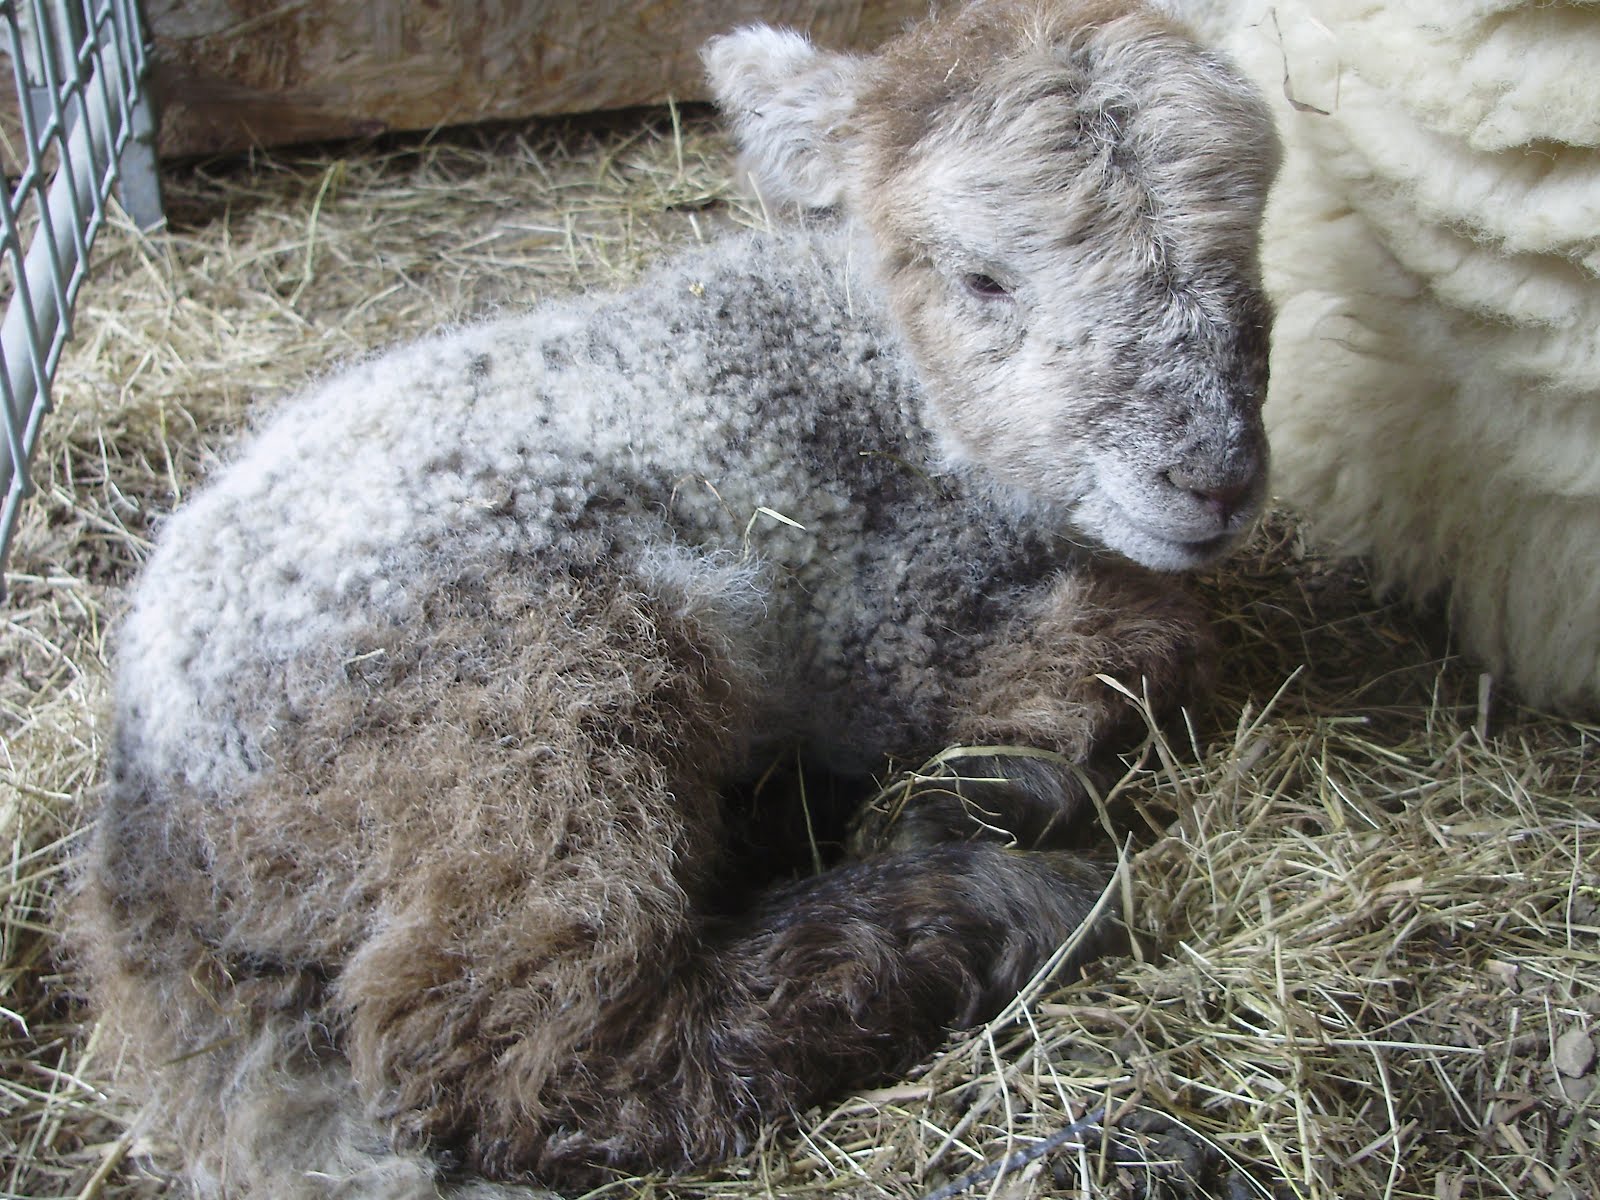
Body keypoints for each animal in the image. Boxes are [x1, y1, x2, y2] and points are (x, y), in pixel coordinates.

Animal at [74, 1, 1278, 1194]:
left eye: (1250, 245)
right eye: (983, 279)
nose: (1213, 477)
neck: (868, 365)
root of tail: (147, 837)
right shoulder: (888, 628)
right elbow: (1156, 640)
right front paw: (975, 794)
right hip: (521, 691)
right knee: (525, 1044)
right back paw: (1008, 906)